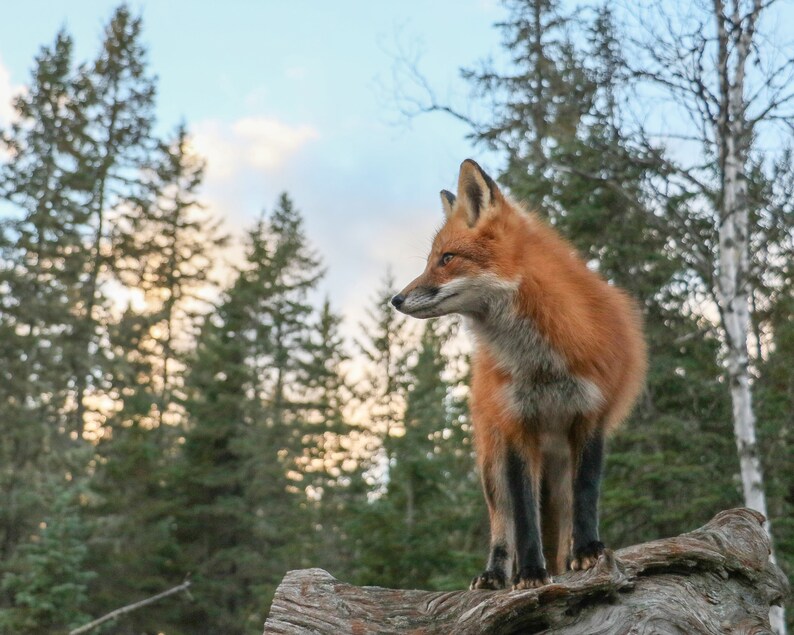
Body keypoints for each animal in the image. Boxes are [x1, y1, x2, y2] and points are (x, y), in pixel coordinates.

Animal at [391, 159, 647, 590]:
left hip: (558, 465)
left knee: (564, 514)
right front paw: (529, 572)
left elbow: (587, 494)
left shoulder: (590, 417)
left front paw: (588, 551)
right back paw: (495, 574)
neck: (541, 362)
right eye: (430, 260)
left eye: (446, 258)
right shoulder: (515, 425)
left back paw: (568, 560)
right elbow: (525, 517)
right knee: (502, 522)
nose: (396, 299)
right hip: (491, 459)